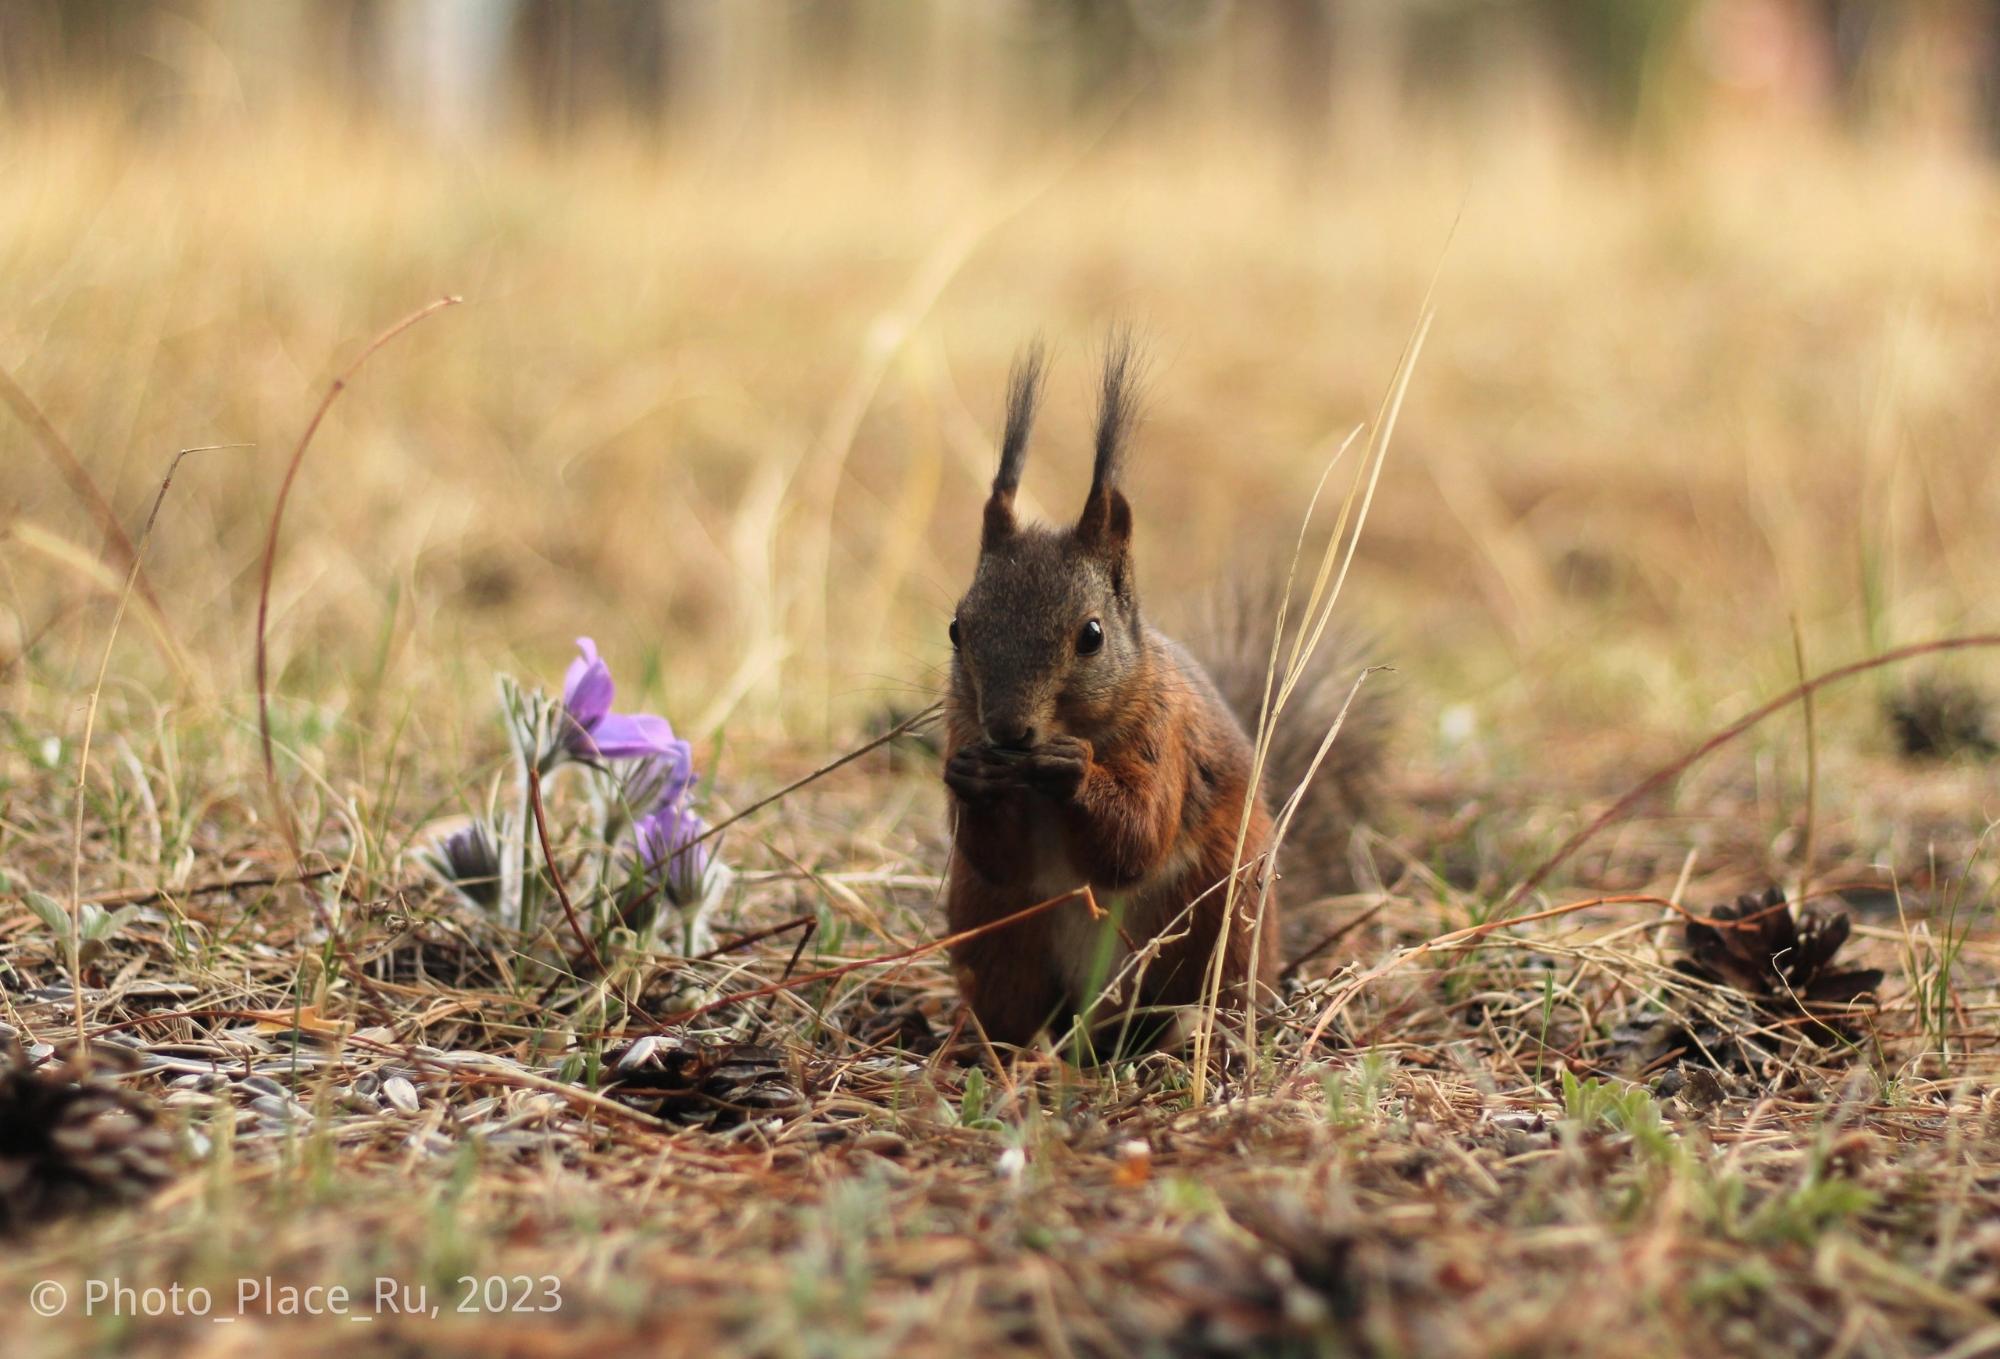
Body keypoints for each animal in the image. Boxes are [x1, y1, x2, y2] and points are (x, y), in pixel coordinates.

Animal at [936, 341, 1376, 1047]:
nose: (1007, 732)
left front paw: (1072, 769)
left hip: (1216, 925)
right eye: (957, 629)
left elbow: (1136, 840)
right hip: (997, 935)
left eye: (1091, 635)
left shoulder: (1166, 741)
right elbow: (994, 856)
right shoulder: (963, 734)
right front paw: (970, 775)